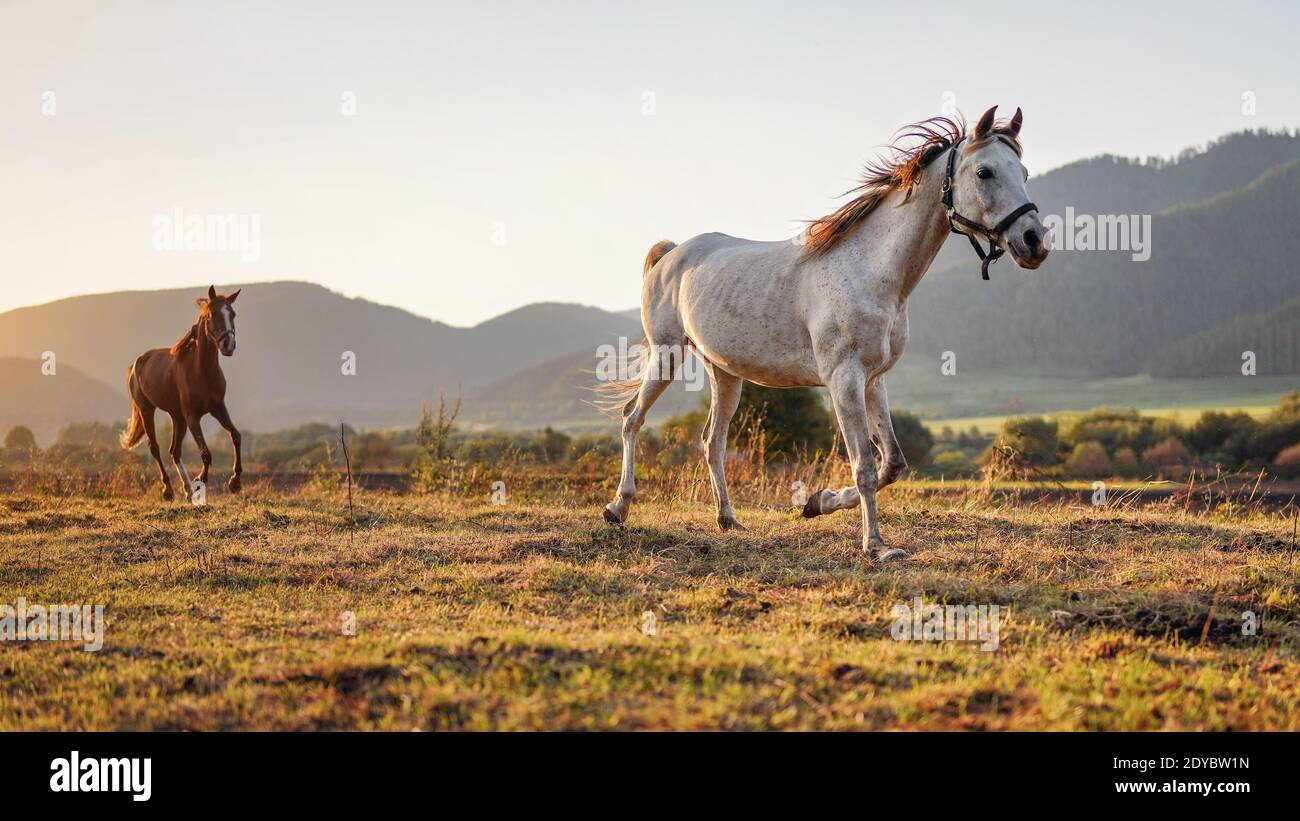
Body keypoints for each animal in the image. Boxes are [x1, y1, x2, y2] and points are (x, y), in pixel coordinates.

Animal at [120, 285, 244, 502]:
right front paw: (200, 479)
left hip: (177, 416)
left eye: (232, 314)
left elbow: (235, 436)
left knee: (174, 451)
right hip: (147, 410)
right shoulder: (193, 416)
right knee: (156, 448)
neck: (202, 371)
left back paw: (187, 489)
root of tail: (137, 363)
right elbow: (206, 453)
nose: (228, 344)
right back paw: (168, 490)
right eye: (213, 314)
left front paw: (235, 482)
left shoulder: (219, 409)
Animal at [601, 106, 1050, 560]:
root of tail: (672, 253)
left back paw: (728, 520)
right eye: (984, 171)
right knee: (632, 420)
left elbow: (892, 463)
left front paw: (817, 503)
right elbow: (865, 466)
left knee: (713, 443)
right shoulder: (843, 380)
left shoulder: (873, 380)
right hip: (667, 355)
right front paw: (876, 546)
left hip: (725, 373)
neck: (870, 268)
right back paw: (618, 508)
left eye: (1024, 172)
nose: (1034, 241)